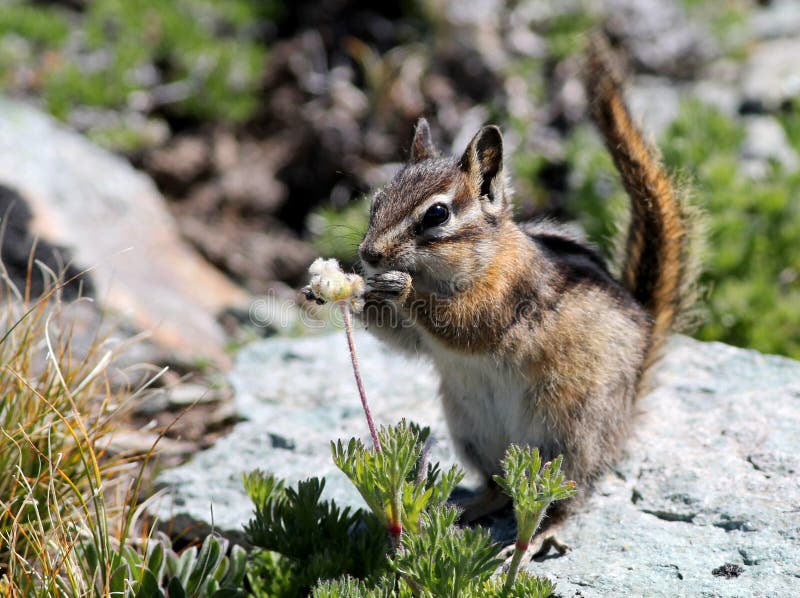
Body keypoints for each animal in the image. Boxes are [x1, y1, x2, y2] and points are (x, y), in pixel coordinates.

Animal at [306, 36, 698, 525]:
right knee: (501, 485)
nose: (369, 255)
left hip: (570, 439)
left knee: (564, 496)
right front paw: (348, 293)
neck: (480, 262)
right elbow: (405, 339)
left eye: (437, 214)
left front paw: (400, 288)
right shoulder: (420, 341)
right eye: (377, 201)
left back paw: (537, 532)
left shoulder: (508, 297)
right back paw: (462, 509)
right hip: (473, 431)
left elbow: (465, 326)